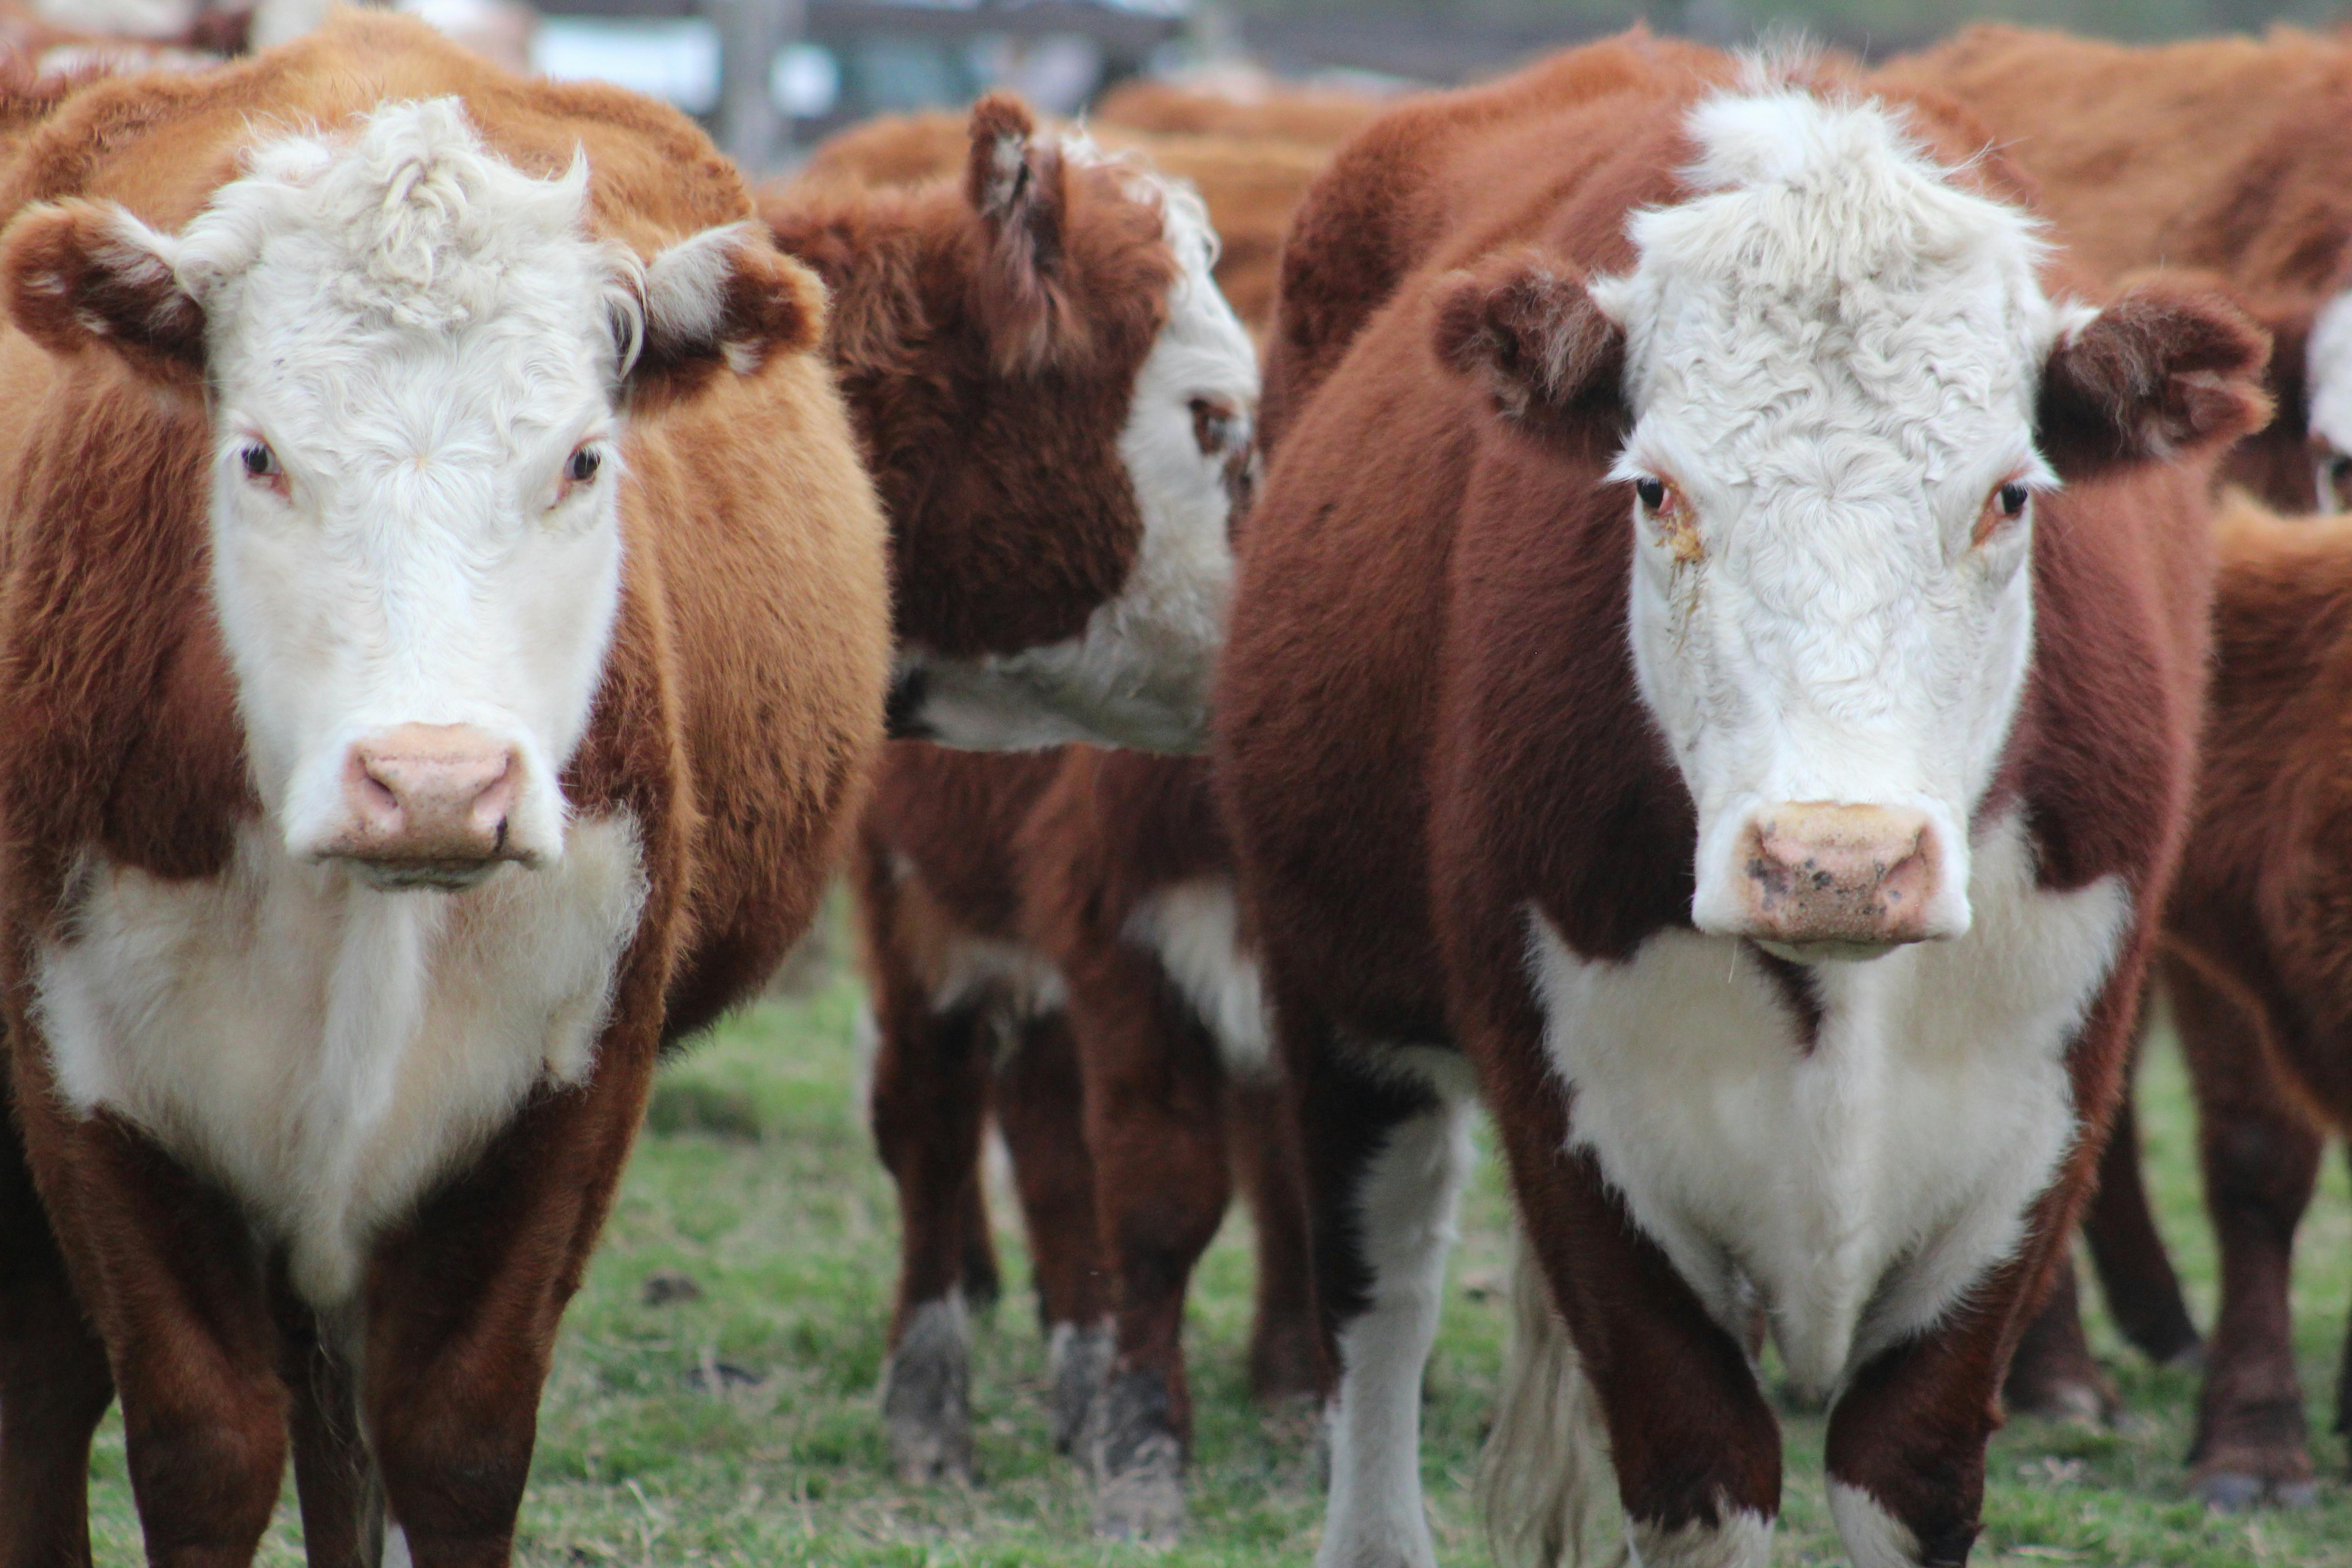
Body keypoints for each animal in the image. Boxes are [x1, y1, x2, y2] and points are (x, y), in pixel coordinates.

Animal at [0, 15, 895, 1566]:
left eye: (584, 461)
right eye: (258, 455)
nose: (431, 785)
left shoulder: (570, 1091)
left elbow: (456, 1445)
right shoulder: (83, 1083)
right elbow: (199, 1443)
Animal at [853, 742, 1317, 1540]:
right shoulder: (1113, 916)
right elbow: (1162, 1206)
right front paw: (1144, 1459)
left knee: (1048, 1133)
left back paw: (1080, 1381)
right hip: (916, 885)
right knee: (929, 1127)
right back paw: (929, 1413)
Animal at [1216, 33, 2270, 1568]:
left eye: (2010, 497)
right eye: (1657, 493)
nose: (1838, 862)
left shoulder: (2034, 1138)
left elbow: (1909, 1466)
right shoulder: (1579, 1142)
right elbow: (1698, 1460)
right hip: (1336, 995)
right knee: (1383, 1295)